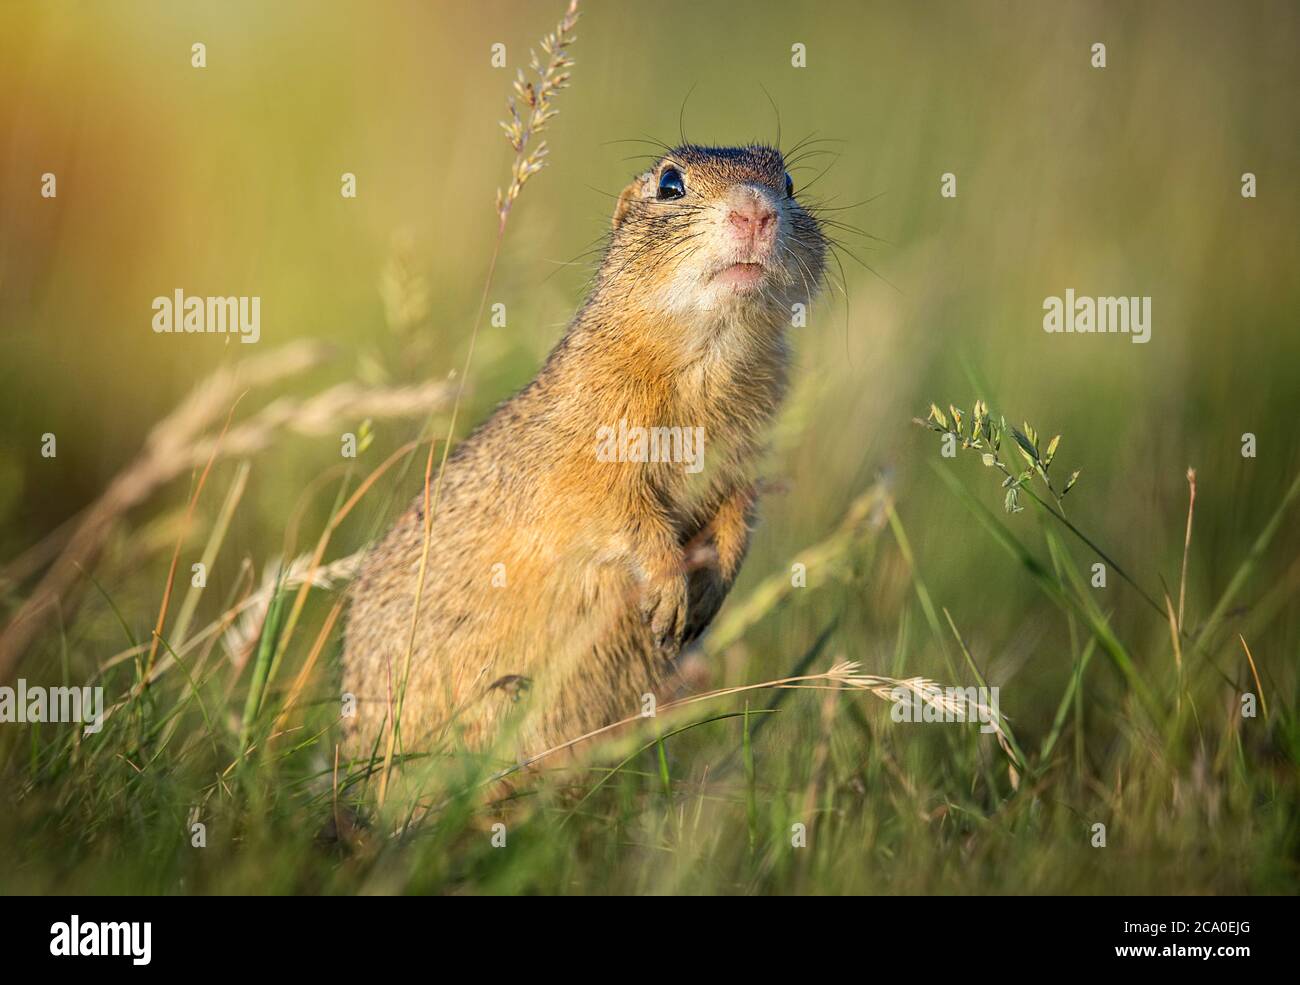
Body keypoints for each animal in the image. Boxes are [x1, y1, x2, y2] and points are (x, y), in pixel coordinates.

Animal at [342, 143, 827, 764]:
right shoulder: (587, 452)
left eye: (788, 183)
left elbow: (738, 510)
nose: (756, 211)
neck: (708, 358)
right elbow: (618, 512)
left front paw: (711, 590)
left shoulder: (748, 453)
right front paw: (669, 595)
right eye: (670, 184)